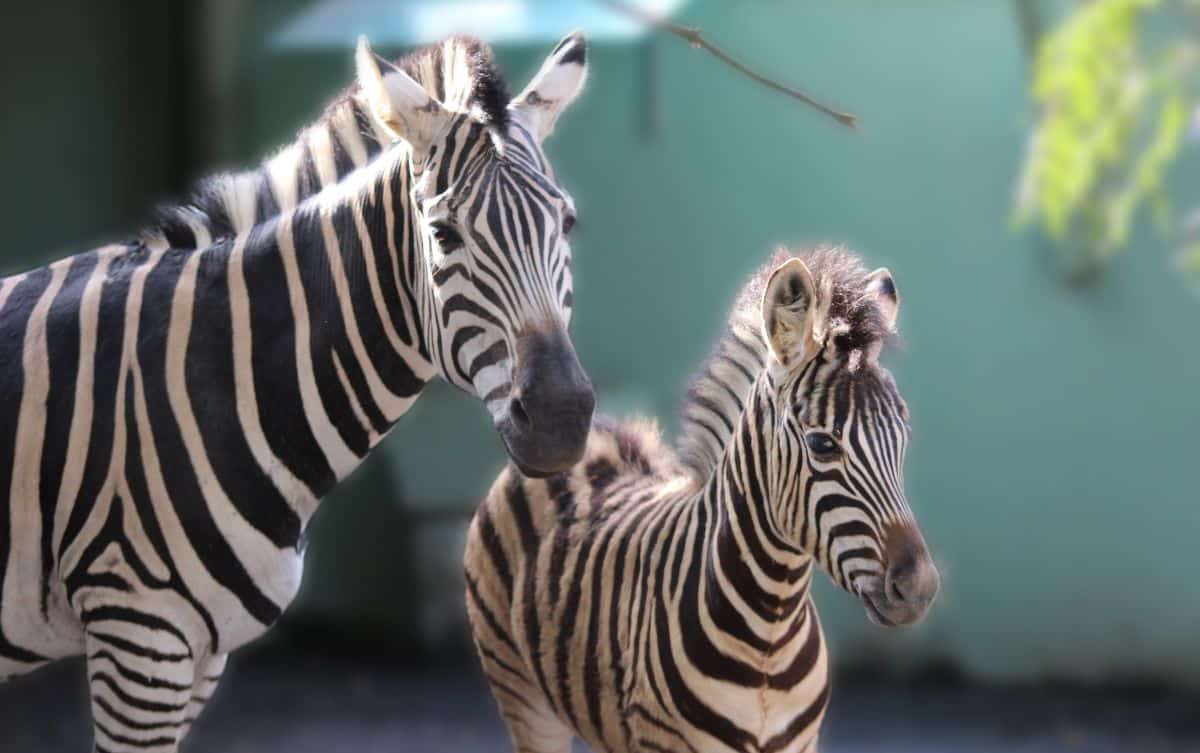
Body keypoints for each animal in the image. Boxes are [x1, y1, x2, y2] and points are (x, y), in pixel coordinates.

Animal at [0, 32, 593, 752]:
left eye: (567, 223)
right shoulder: (137, 632)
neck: (218, 373)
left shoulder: (199, 653)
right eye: (444, 235)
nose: (562, 418)